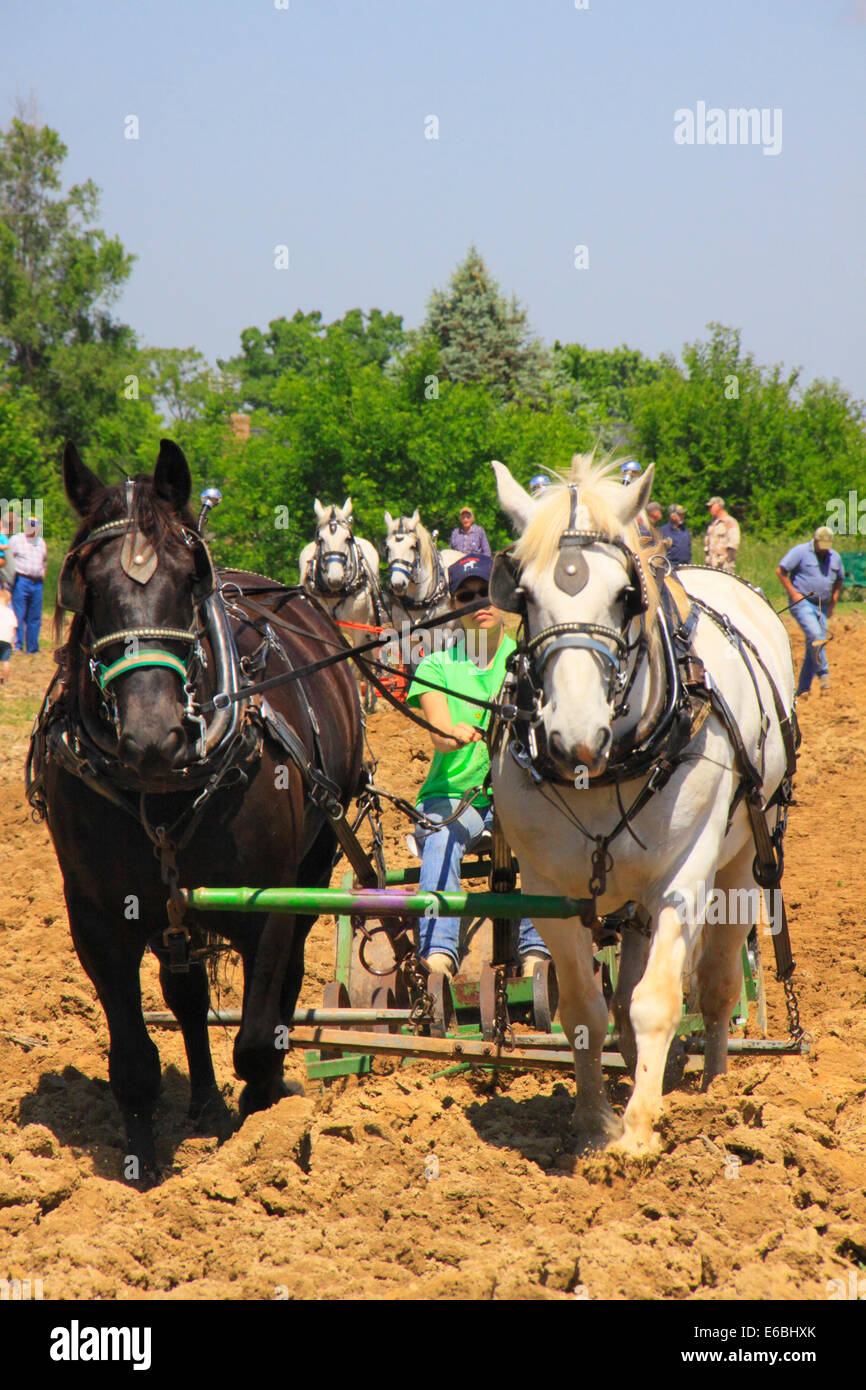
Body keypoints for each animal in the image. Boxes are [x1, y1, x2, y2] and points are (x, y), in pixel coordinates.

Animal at [28, 440, 363, 1184]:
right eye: (90, 585)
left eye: (188, 580)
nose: (153, 736)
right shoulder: (98, 916)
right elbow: (133, 1061)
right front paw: (144, 1171)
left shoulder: (270, 903)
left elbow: (257, 1038)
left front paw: (258, 1146)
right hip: (170, 906)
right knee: (183, 997)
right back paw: (205, 1103)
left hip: (316, 860)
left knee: (282, 985)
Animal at [298, 498, 384, 712]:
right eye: (320, 539)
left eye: (347, 538)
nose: (335, 578)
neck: (335, 591)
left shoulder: (360, 631)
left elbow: (357, 666)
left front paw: (360, 705)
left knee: (369, 660)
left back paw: (371, 701)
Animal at [382, 510, 461, 668]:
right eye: (388, 548)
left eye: (413, 546)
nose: (397, 584)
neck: (420, 601)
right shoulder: (406, 640)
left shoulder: (441, 637)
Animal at [489, 454, 797, 1155]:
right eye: (524, 596)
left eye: (625, 596)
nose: (574, 738)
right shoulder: (546, 886)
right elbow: (584, 1008)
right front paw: (594, 1122)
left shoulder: (685, 875)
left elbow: (657, 1000)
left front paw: (635, 1137)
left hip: (746, 851)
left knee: (716, 983)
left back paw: (714, 1087)